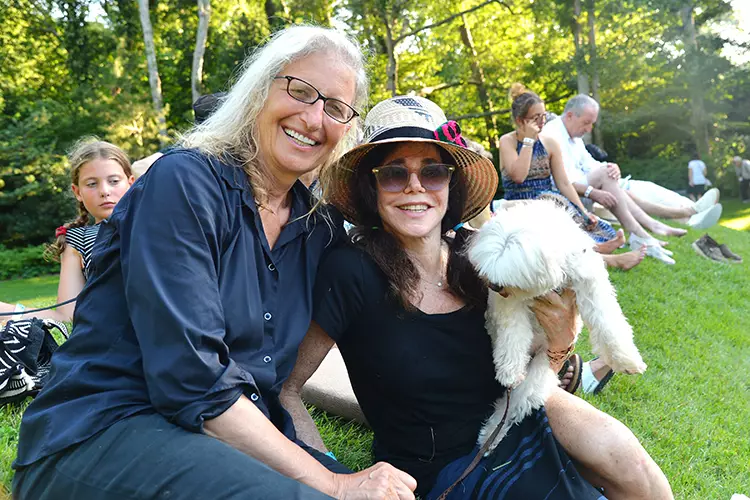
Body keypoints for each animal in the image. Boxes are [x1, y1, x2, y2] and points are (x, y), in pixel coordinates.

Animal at [468, 201, 648, 452]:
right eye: (491, 276)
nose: (493, 286)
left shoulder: (589, 283)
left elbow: (607, 320)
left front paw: (626, 360)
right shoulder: (509, 303)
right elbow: (513, 333)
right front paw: (509, 370)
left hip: (539, 372)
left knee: (516, 404)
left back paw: (491, 436)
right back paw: (489, 436)